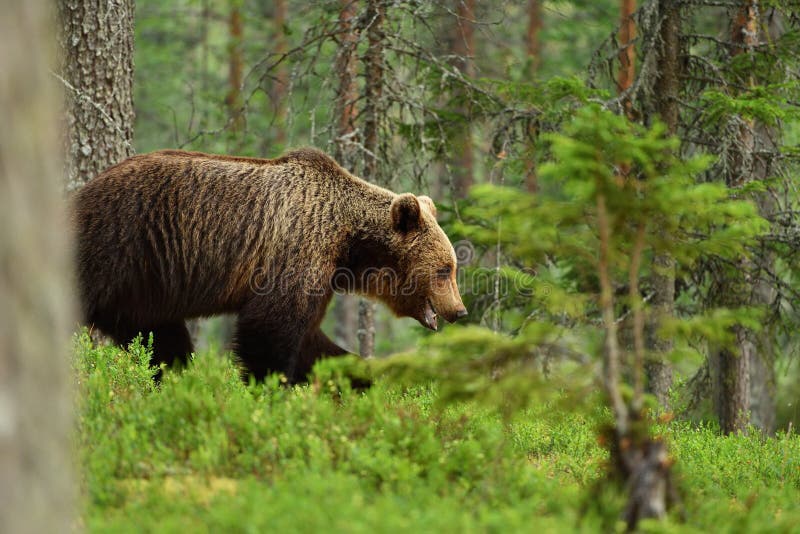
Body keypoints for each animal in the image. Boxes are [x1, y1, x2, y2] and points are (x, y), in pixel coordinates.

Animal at [72, 148, 467, 382]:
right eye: (444, 269)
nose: (460, 310)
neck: (348, 246)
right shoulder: (296, 252)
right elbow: (268, 330)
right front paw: (269, 387)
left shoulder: (322, 276)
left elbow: (311, 340)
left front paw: (367, 376)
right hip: (116, 246)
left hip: (143, 290)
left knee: (160, 338)